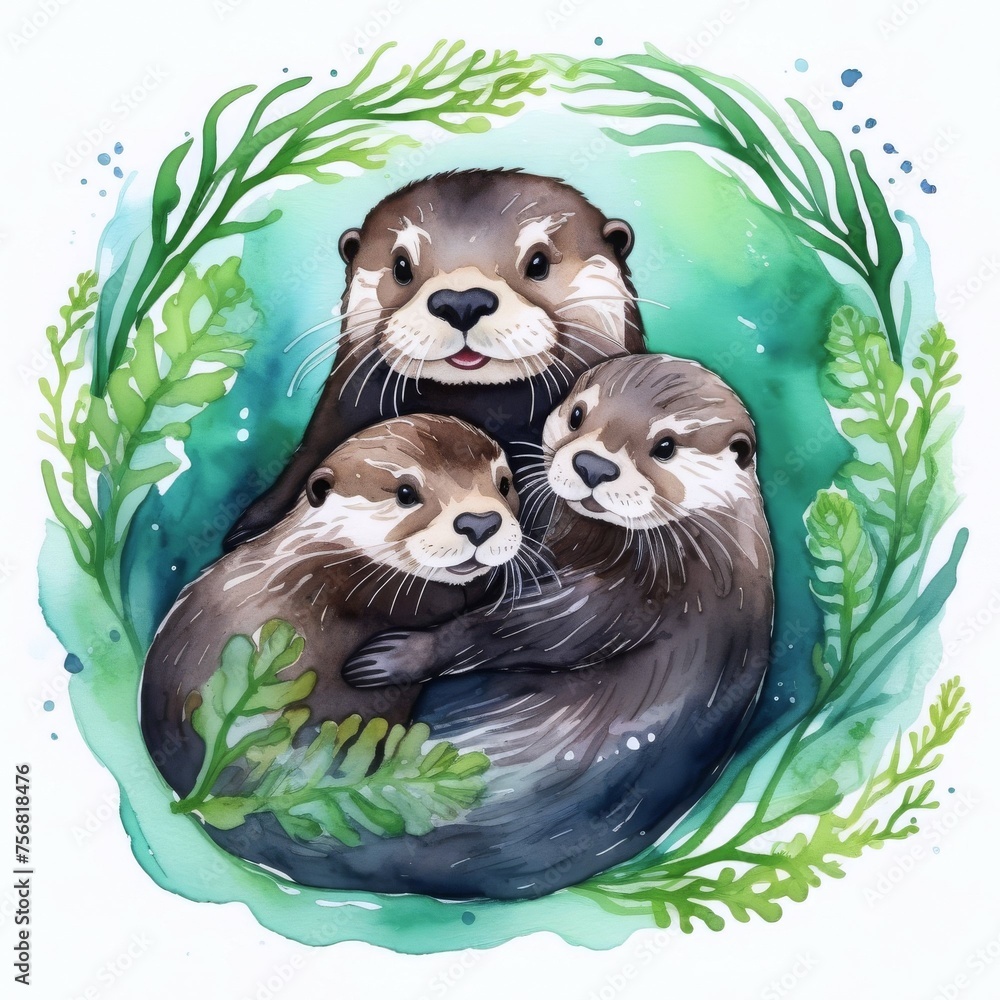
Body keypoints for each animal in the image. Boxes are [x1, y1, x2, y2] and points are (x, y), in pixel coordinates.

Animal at [332, 356, 774, 899]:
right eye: (579, 414)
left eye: (666, 446)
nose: (594, 465)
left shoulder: (630, 602)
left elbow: (514, 630)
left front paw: (395, 656)